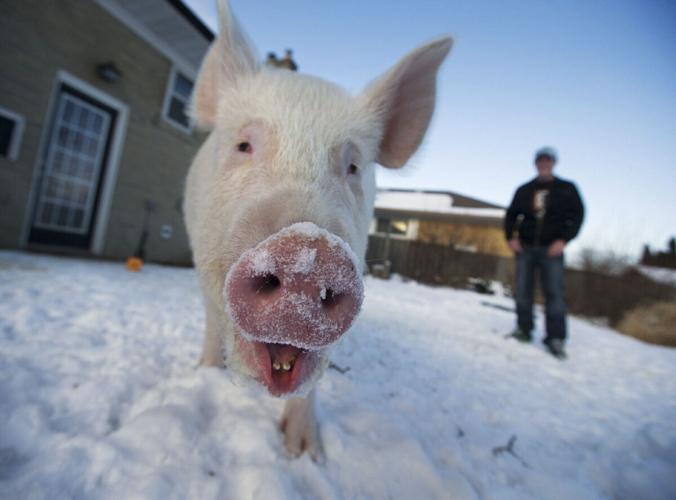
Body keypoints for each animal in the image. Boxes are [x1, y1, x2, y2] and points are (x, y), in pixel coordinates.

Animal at [184, 0, 452, 462]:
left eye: (353, 166)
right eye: (244, 146)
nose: (307, 250)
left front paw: (305, 454)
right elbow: (214, 322)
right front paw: (204, 376)